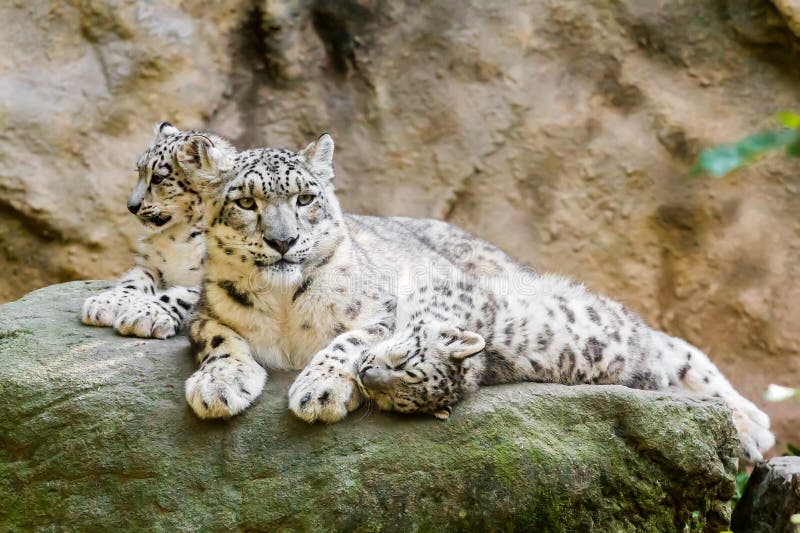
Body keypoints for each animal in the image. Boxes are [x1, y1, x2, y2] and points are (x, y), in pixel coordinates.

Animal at [81, 122, 236, 339]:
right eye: (138, 171)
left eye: (158, 178)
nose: (131, 206)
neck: (180, 235)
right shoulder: (151, 264)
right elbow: (132, 280)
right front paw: (105, 303)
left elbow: (183, 295)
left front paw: (142, 315)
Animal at [183, 132, 773, 461]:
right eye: (245, 202)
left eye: (305, 198)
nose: (283, 241)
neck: (284, 308)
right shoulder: (205, 312)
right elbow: (219, 340)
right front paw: (219, 386)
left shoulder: (382, 313)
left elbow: (346, 343)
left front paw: (319, 390)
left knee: (674, 347)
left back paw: (750, 427)